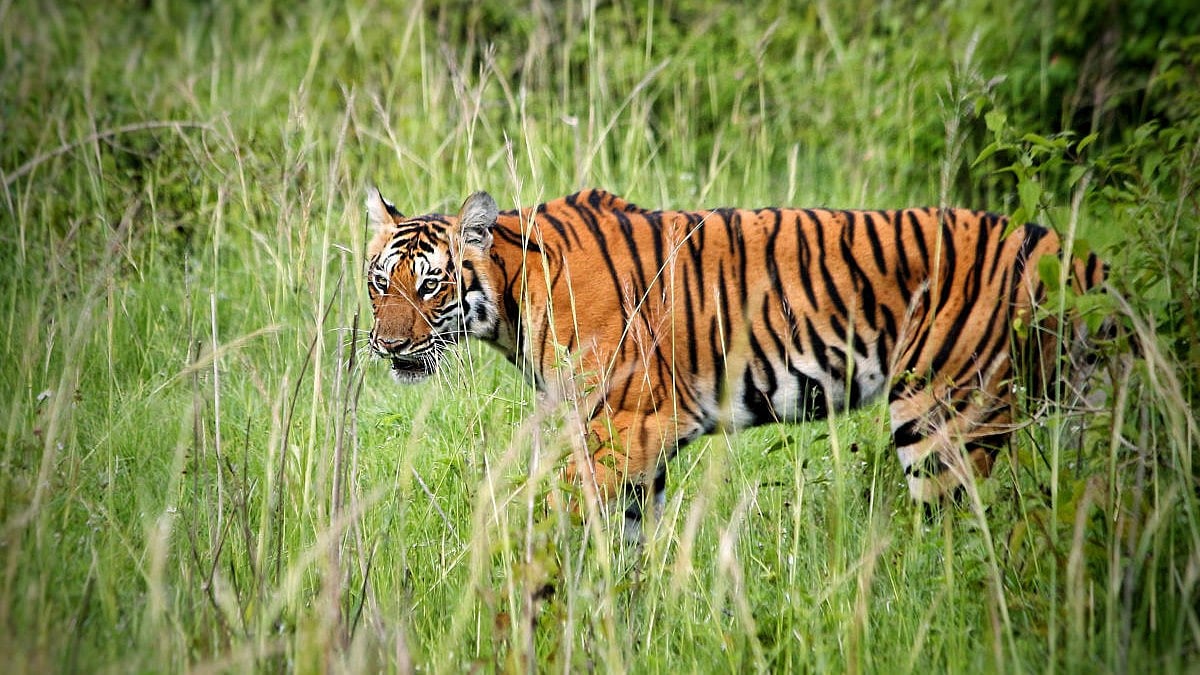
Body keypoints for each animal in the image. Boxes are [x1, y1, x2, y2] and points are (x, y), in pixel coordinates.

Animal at [364, 186, 1107, 530]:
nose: (389, 346)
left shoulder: (619, 427)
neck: (515, 296)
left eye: (429, 285)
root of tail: (1060, 245)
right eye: (379, 283)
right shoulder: (634, 442)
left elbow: (557, 519)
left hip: (947, 417)